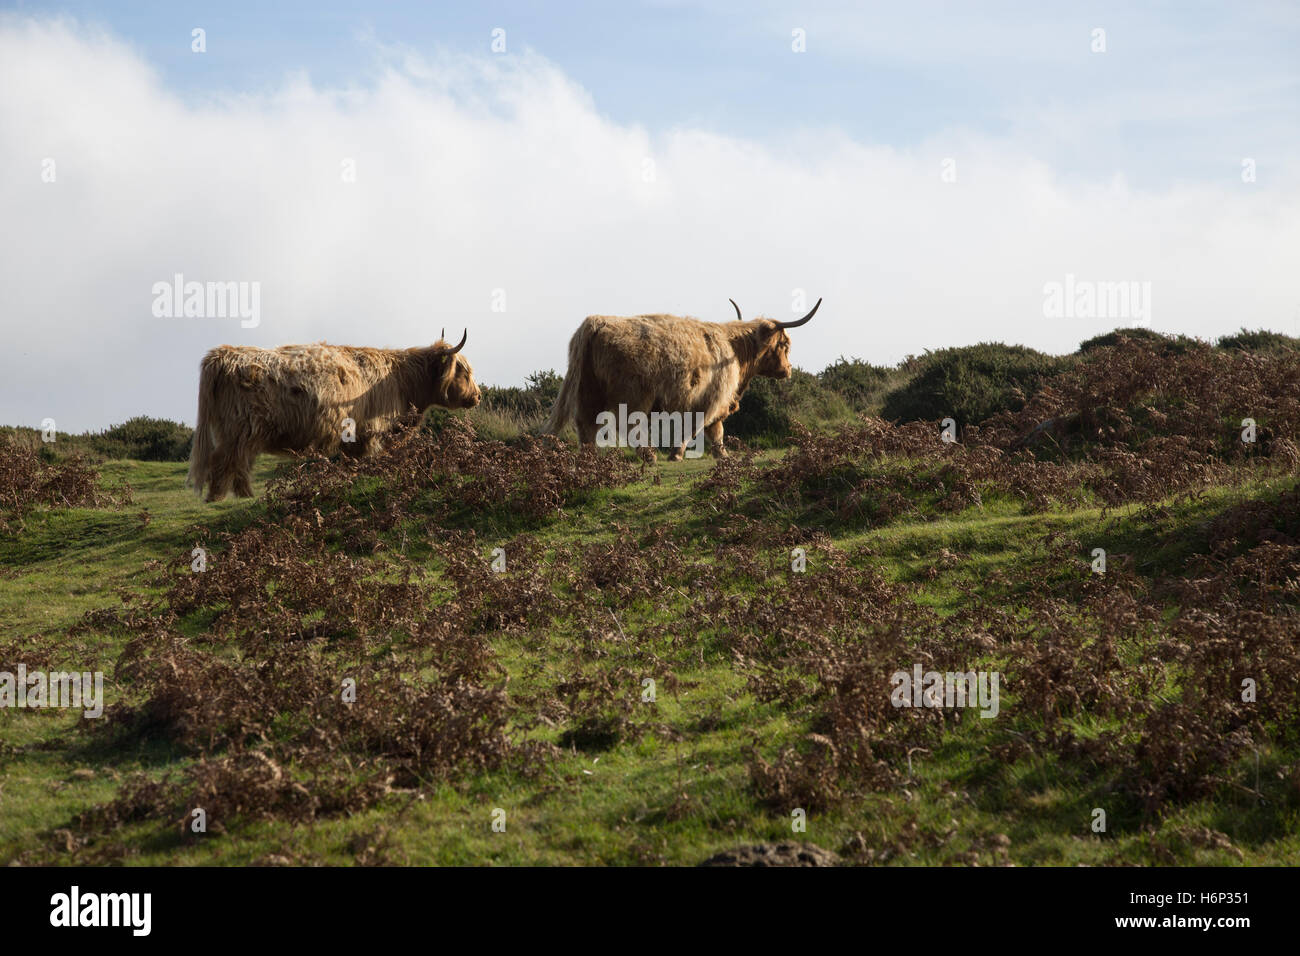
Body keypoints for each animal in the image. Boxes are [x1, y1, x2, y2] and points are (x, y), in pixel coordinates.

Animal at [186, 331, 480, 501]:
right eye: (464, 371)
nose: (478, 396)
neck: (402, 381)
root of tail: (224, 353)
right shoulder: (373, 432)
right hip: (239, 429)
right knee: (225, 461)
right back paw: (222, 497)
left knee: (236, 462)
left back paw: (241, 495)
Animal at [544, 298, 821, 460]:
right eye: (785, 344)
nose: (788, 370)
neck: (735, 352)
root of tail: (595, 322)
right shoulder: (711, 399)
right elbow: (699, 427)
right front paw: (676, 454)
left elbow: (716, 433)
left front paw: (723, 456)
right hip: (634, 395)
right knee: (628, 424)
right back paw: (649, 456)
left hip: (588, 391)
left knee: (585, 426)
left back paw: (588, 460)